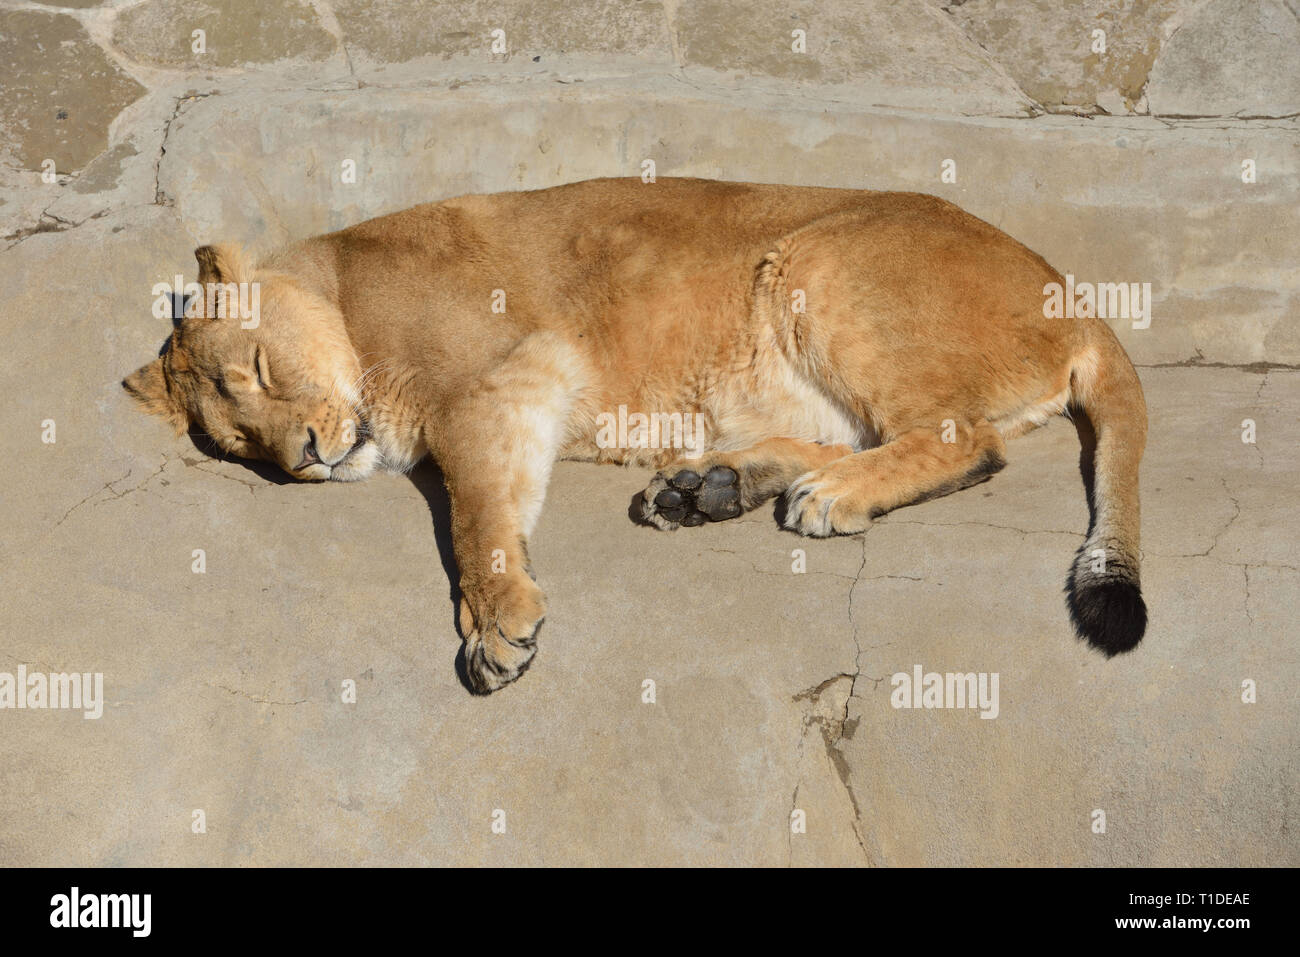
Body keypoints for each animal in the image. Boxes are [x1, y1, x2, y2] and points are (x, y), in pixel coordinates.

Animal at [124, 177, 1148, 694]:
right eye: (241, 442)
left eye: (255, 371)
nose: (301, 458)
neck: (341, 287)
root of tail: (1077, 298)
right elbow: (485, 506)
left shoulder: (498, 380)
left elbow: (474, 514)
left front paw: (495, 625)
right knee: (860, 436)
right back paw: (708, 488)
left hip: (822, 258)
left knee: (964, 438)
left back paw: (816, 496)